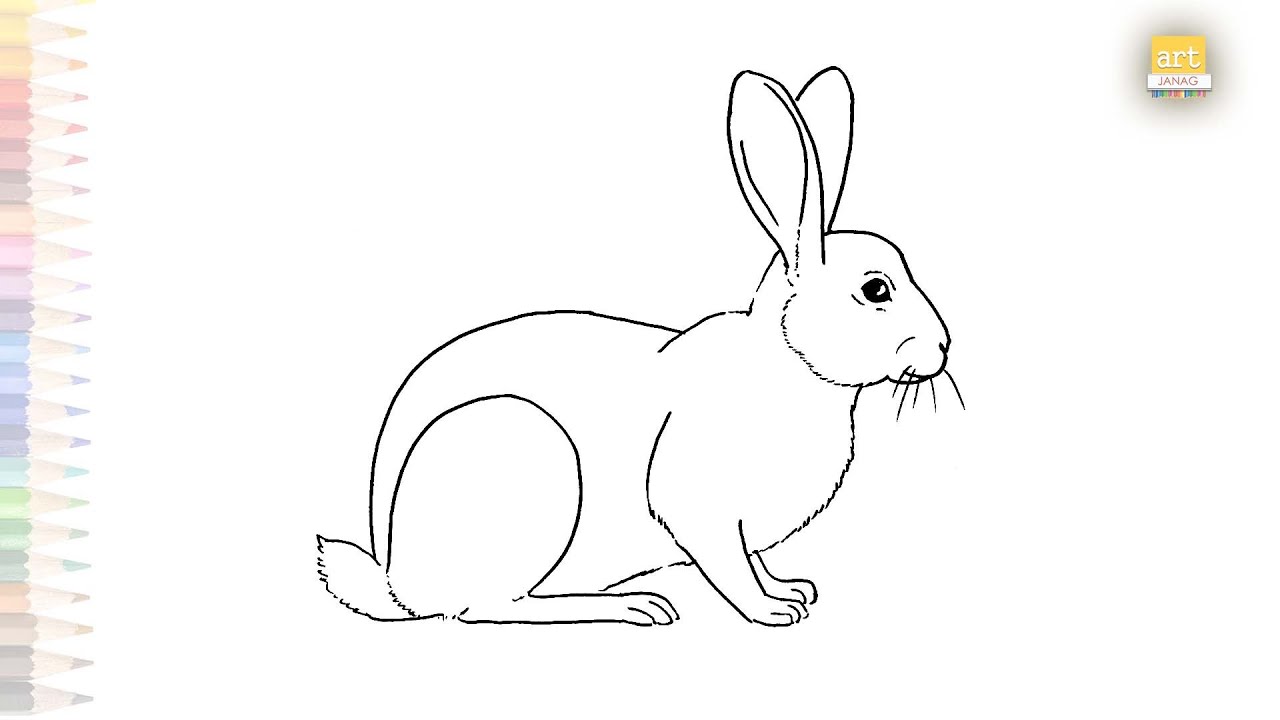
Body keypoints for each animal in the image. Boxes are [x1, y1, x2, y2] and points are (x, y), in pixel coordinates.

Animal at [317, 67, 952, 626]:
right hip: (525, 460)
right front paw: (772, 612)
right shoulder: (697, 502)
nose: (944, 346)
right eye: (876, 290)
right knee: (489, 607)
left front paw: (791, 588)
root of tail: (398, 582)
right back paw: (633, 606)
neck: (788, 364)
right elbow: (729, 568)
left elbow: (753, 562)